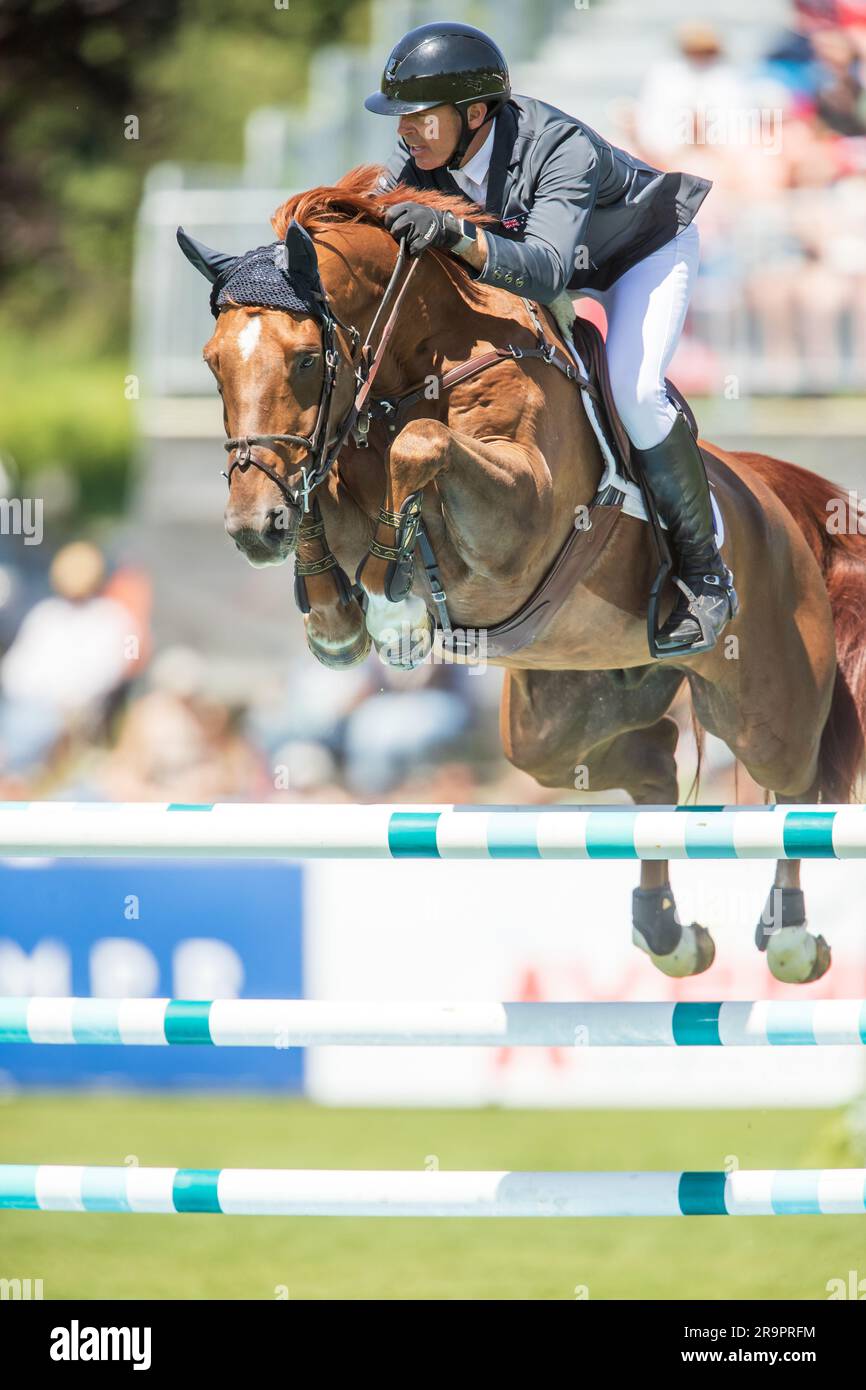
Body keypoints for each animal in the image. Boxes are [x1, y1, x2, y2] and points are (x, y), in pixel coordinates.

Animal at [177, 165, 866, 989]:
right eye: (213, 362)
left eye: (308, 359)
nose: (254, 529)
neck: (423, 364)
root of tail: (775, 502)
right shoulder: (339, 469)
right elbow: (331, 488)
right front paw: (341, 623)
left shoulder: (523, 516)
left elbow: (421, 444)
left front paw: (392, 614)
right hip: (556, 726)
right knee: (654, 768)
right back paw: (668, 932)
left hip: (765, 710)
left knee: (798, 789)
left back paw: (791, 937)